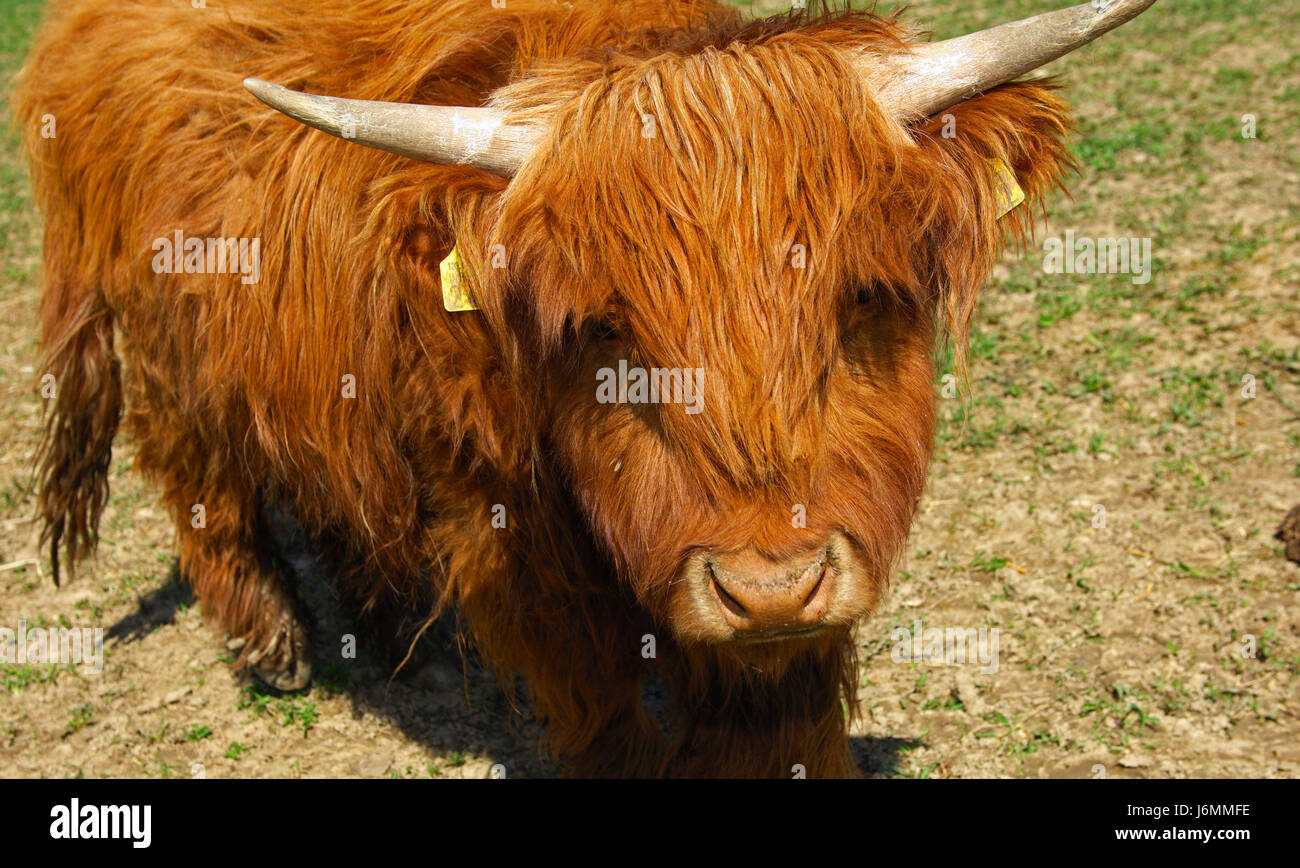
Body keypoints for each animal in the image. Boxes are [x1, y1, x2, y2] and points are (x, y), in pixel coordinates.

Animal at [14, 0, 1158, 777]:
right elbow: (607, 707)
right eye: (609, 334)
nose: (769, 587)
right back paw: (273, 642)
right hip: (166, 350)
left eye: (865, 302)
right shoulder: (516, 539)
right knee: (197, 471)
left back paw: (387, 633)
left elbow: (776, 709)